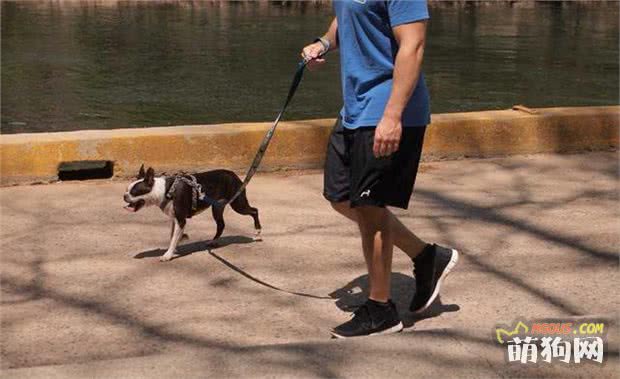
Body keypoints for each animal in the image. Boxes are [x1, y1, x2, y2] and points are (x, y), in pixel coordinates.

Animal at [123, 165, 262, 262]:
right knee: (221, 225)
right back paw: (213, 241)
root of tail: (233, 174)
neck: (164, 191)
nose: (124, 196)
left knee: (254, 211)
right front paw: (174, 248)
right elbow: (172, 235)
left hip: (238, 204)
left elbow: (174, 237)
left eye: (134, 192)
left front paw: (168, 255)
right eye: (127, 190)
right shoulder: (175, 218)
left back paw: (257, 233)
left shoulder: (180, 219)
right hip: (217, 208)